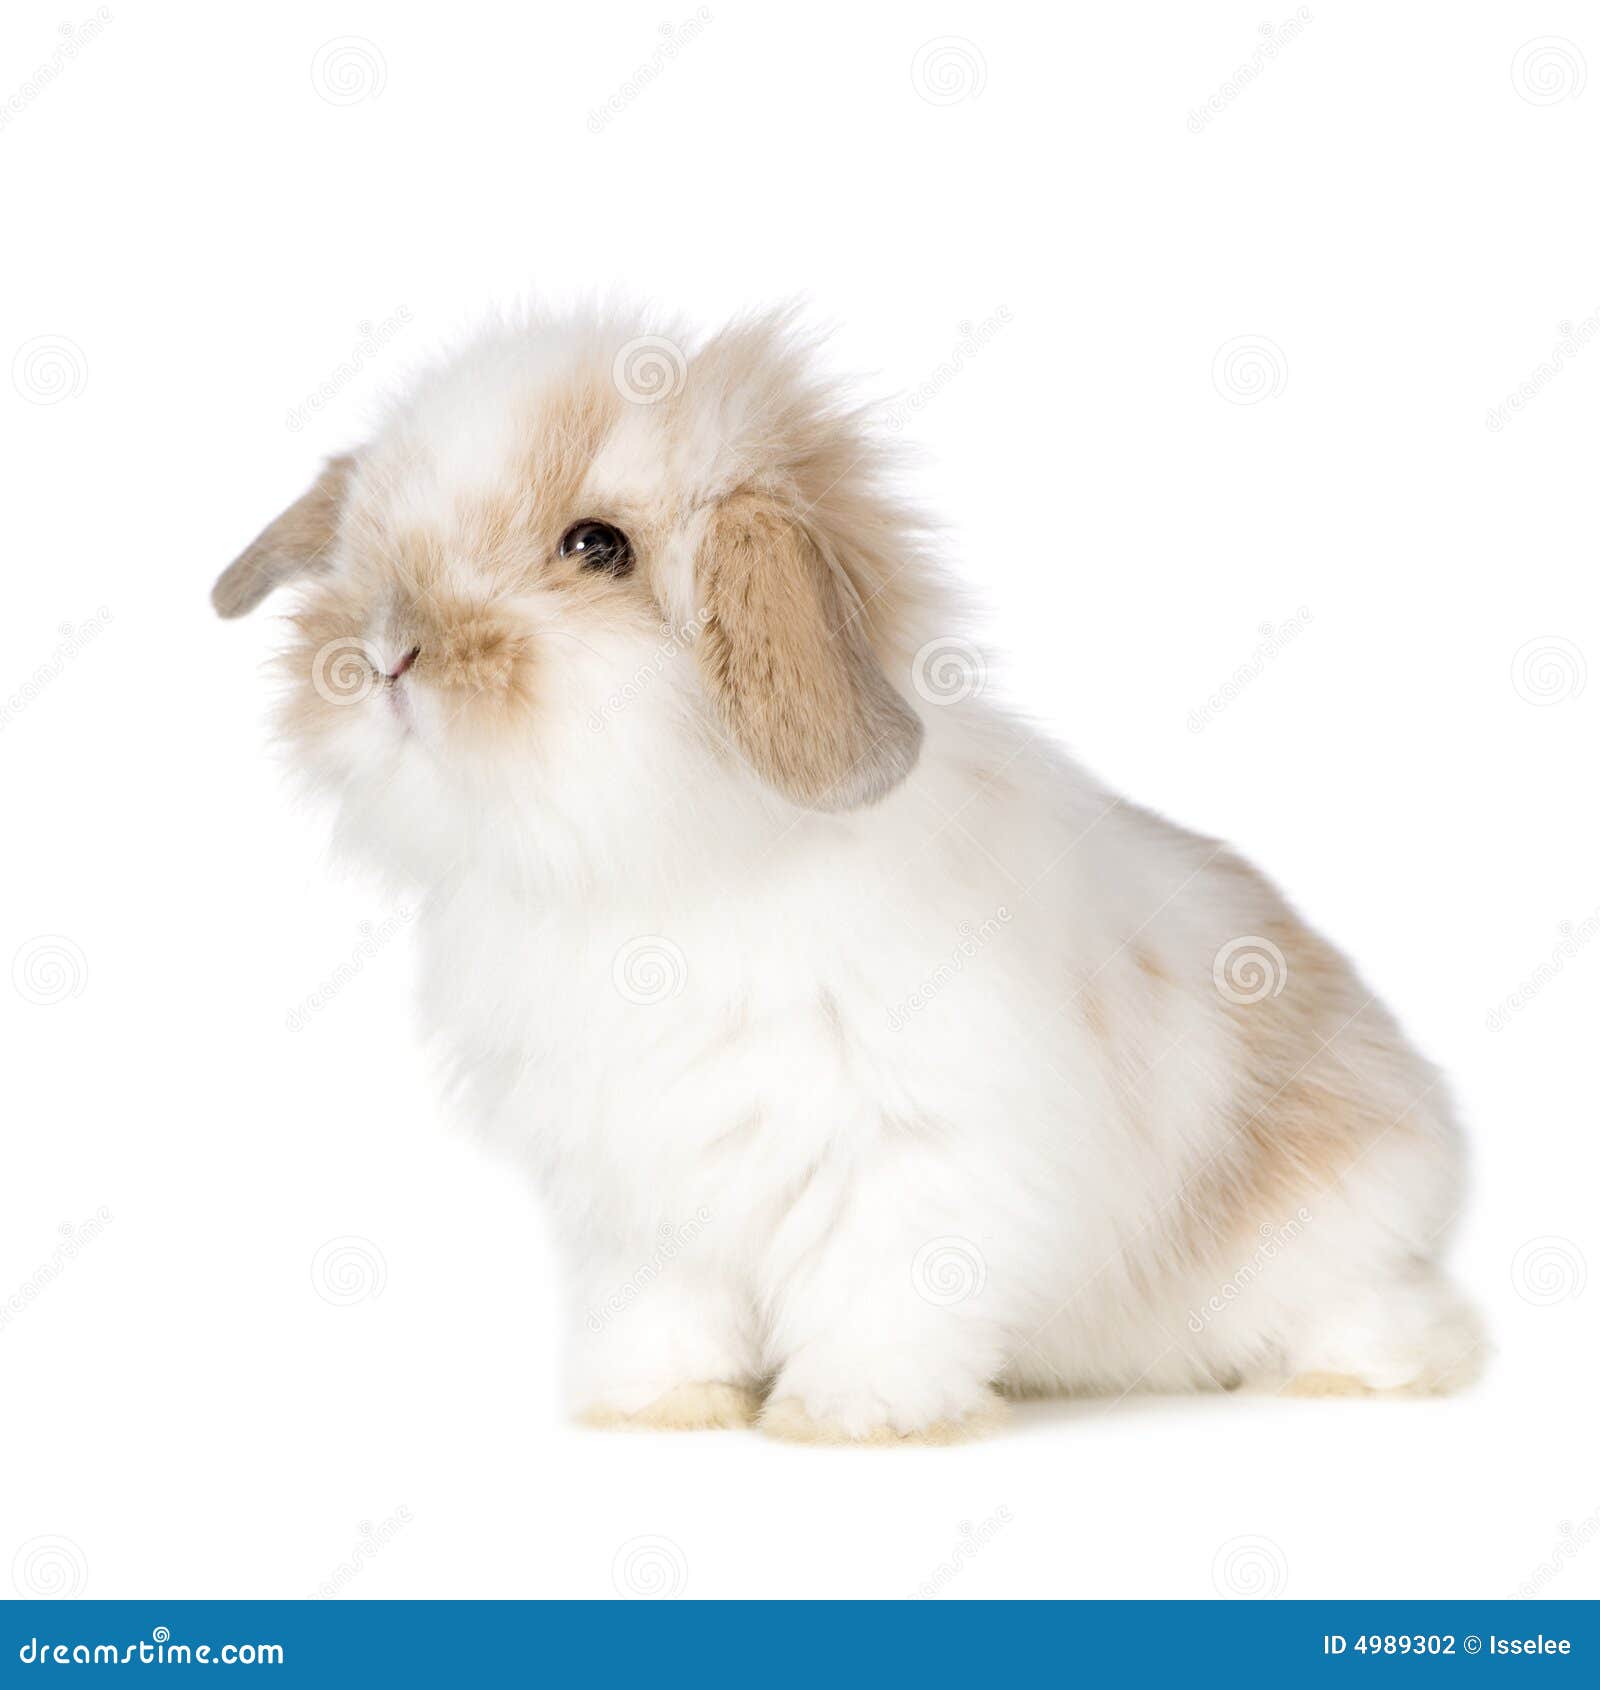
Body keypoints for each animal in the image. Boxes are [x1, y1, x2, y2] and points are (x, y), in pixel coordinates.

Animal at [213, 306, 1482, 1443]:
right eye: (364, 543)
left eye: (597, 546)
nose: (383, 654)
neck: (661, 867)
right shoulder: (641, 1193)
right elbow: (663, 1308)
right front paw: (657, 1406)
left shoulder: (910, 1158)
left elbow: (882, 1293)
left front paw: (853, 1417)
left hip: (1338, 1229)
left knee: (1403, 1316)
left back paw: (1351, 1376)